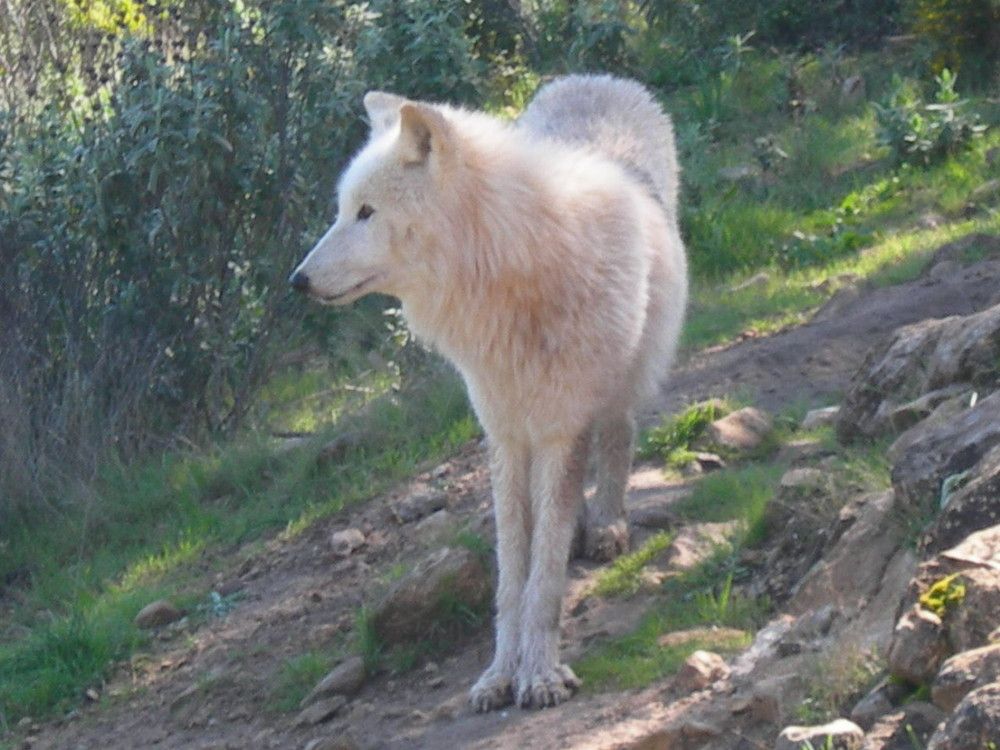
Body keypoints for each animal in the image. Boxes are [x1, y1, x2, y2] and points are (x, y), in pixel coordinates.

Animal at [290, 74, 688, 710]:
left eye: (366, 213)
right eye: (342, 211)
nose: (296, 281)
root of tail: (598, 78)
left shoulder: (558, 428)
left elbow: (543, 579)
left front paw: (540, 674)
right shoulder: (504, 434)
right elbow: (512, 574)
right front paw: (500, 674)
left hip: (624, 377)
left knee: (617, 437)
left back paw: (607, 526)